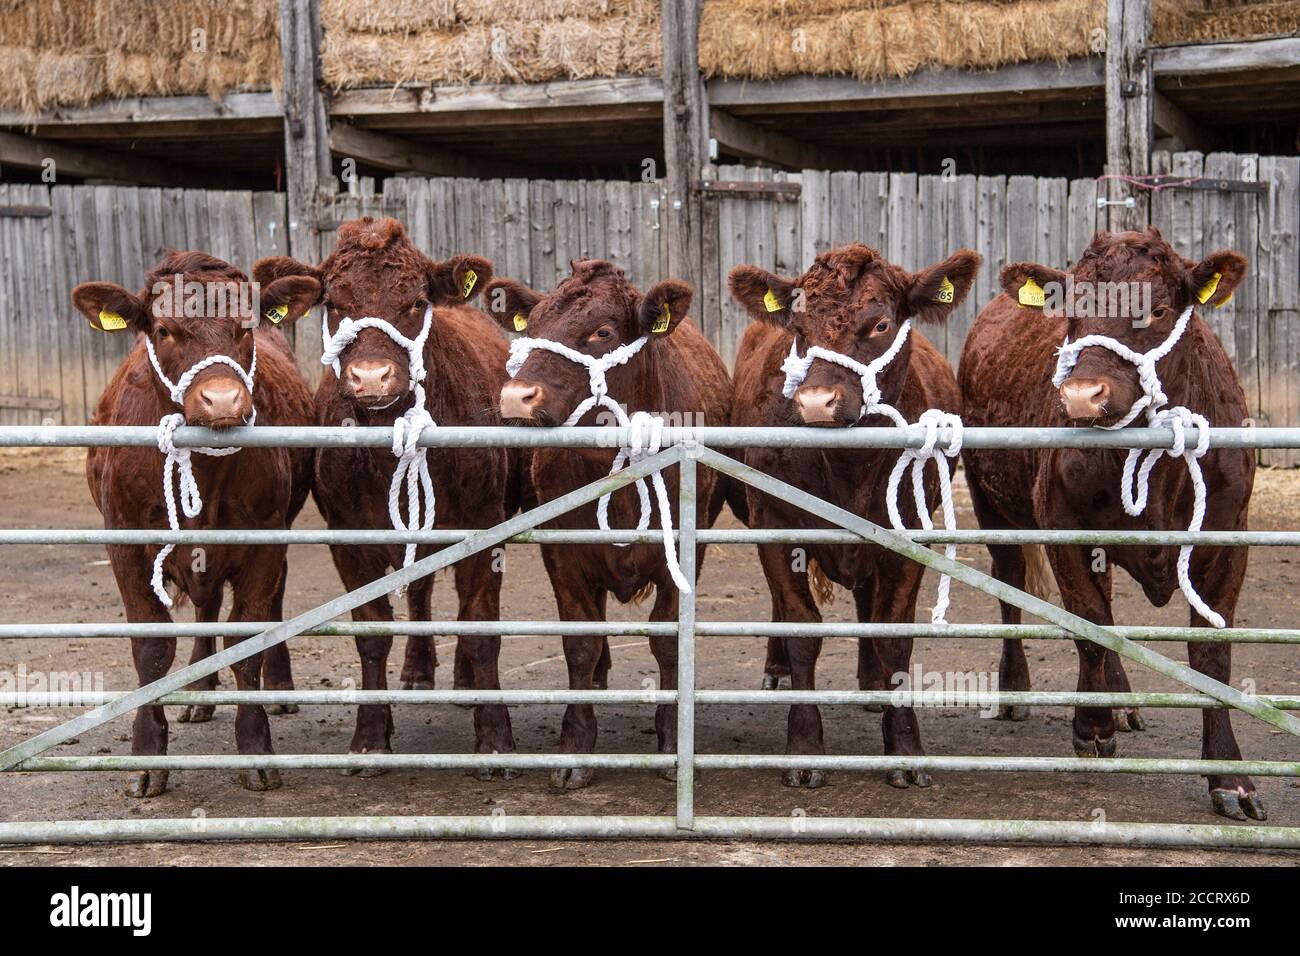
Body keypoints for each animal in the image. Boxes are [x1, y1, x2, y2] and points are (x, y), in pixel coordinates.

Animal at [71, 251, 317, 797]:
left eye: (245, 327)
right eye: (163, 329)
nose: (222, 400)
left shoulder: (265, 542)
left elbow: (246, 640)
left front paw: (256, 749)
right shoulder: (125, 546)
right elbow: (151, 649)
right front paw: (147, 756)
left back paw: (278, 687)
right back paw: (201, 689)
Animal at [253, 218, 520, 775]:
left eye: (416, 301)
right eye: (334, 302)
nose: (372, 376)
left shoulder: (486, 529)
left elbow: (481, 629)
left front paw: (495, 736)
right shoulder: (349, 537)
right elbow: (372, 635)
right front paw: (370, 737)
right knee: (418, 589)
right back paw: (418, 670)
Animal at [488, 260, 732, 789]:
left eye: (602, 331)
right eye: (532, 328)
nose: (516, 396)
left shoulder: (683, 553)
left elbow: (667, 643)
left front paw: (671, 737)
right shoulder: (562, 555)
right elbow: (580, 643)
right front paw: (576, 747)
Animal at [728, 243, 981, 789]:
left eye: (881, 324)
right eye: (799, 328)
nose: (816, 402)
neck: (849, 468)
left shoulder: (909, 534)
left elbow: (894, 636)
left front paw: (904, 748)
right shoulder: (773, 522)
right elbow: (801, 629)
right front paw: (804, 749)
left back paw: (871, 685)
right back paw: (778, 670)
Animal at [959, 226, 1262, 820]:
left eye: (1160, 309)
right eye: (1073, 315)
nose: (1082, 396)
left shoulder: (1227, 540)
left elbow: (1211, 656)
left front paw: (1230, 777)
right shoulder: (1063, 526)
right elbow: (1090, 626)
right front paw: (1092, 726)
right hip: (991, 503)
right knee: (1011, 584)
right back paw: (1018, 689)